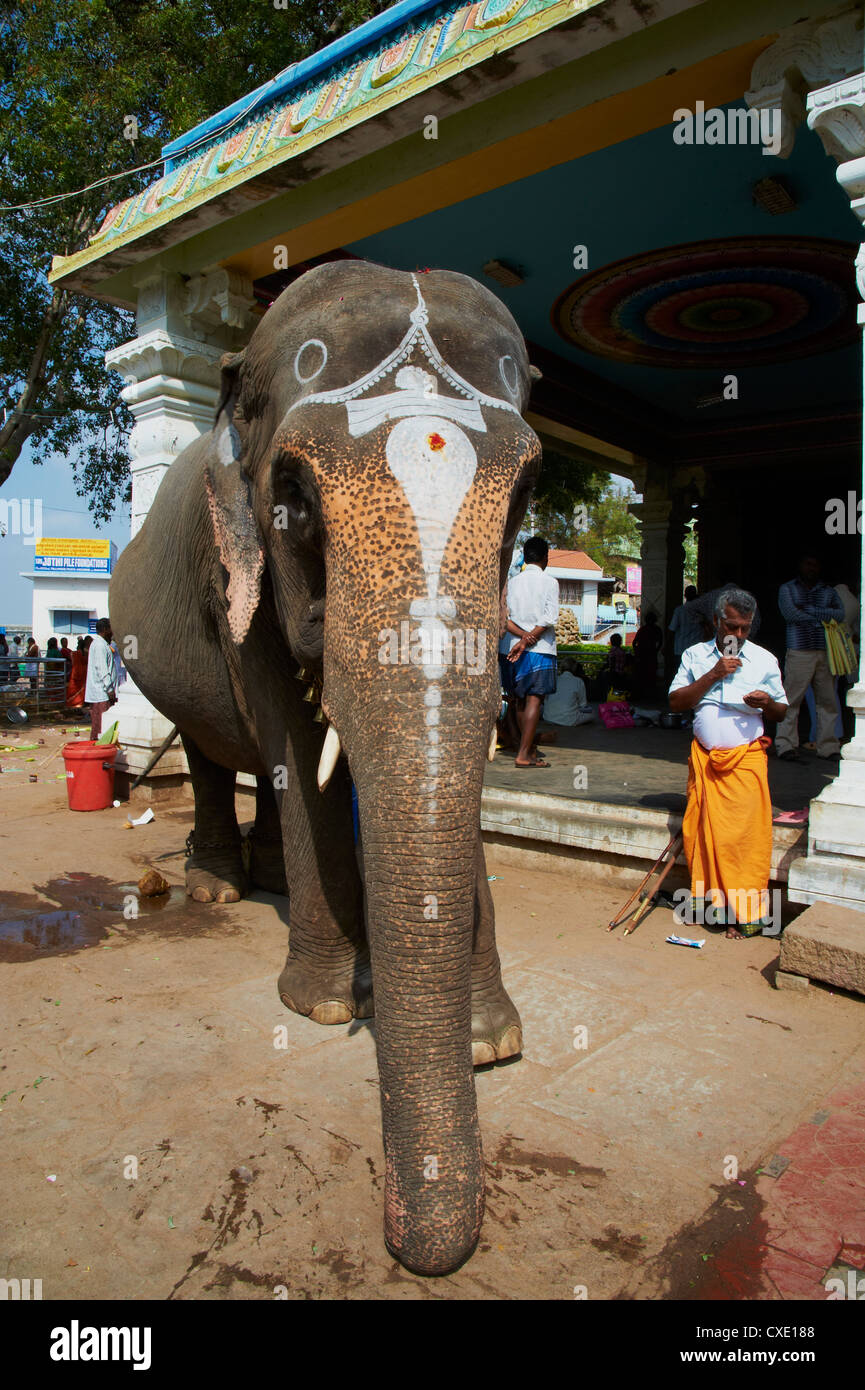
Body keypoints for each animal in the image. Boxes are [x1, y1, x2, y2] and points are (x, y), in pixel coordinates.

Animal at [110, 260, 542, 1276]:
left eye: (522, 500)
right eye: (295, 501)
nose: (417, 1250)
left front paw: (490, 1042)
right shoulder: (231, 575)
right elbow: (293, 744)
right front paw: (323, 1005)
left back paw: (262, 877)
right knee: (213, 746)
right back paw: (220, 888)